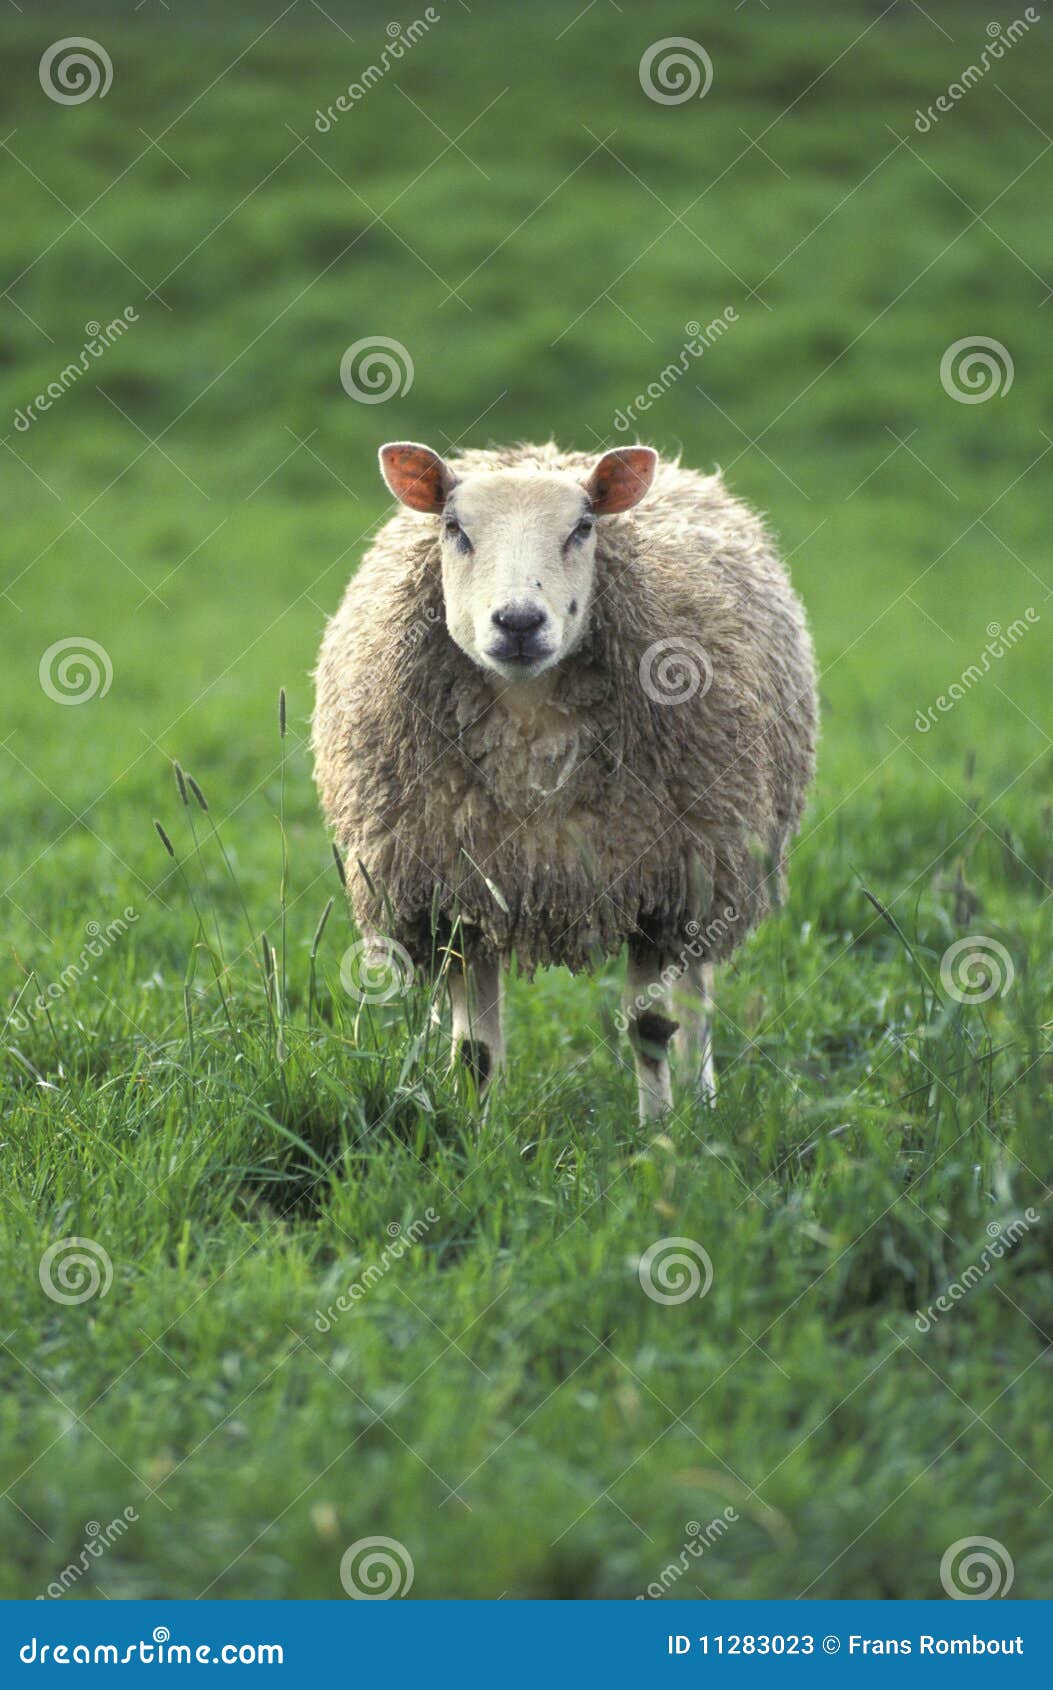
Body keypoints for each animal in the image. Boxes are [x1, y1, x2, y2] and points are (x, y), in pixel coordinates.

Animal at [312, 441, 817, 1121]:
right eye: (454, 528)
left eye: (582, 528)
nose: (519, 621)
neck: (532, 733)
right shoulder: (455, 894)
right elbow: (474, 1052)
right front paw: (477, 1135)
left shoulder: (657, 882)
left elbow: (650, 1026)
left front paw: (659, 1134)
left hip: (712, 866)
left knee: (698, 999)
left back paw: (702, 1099)